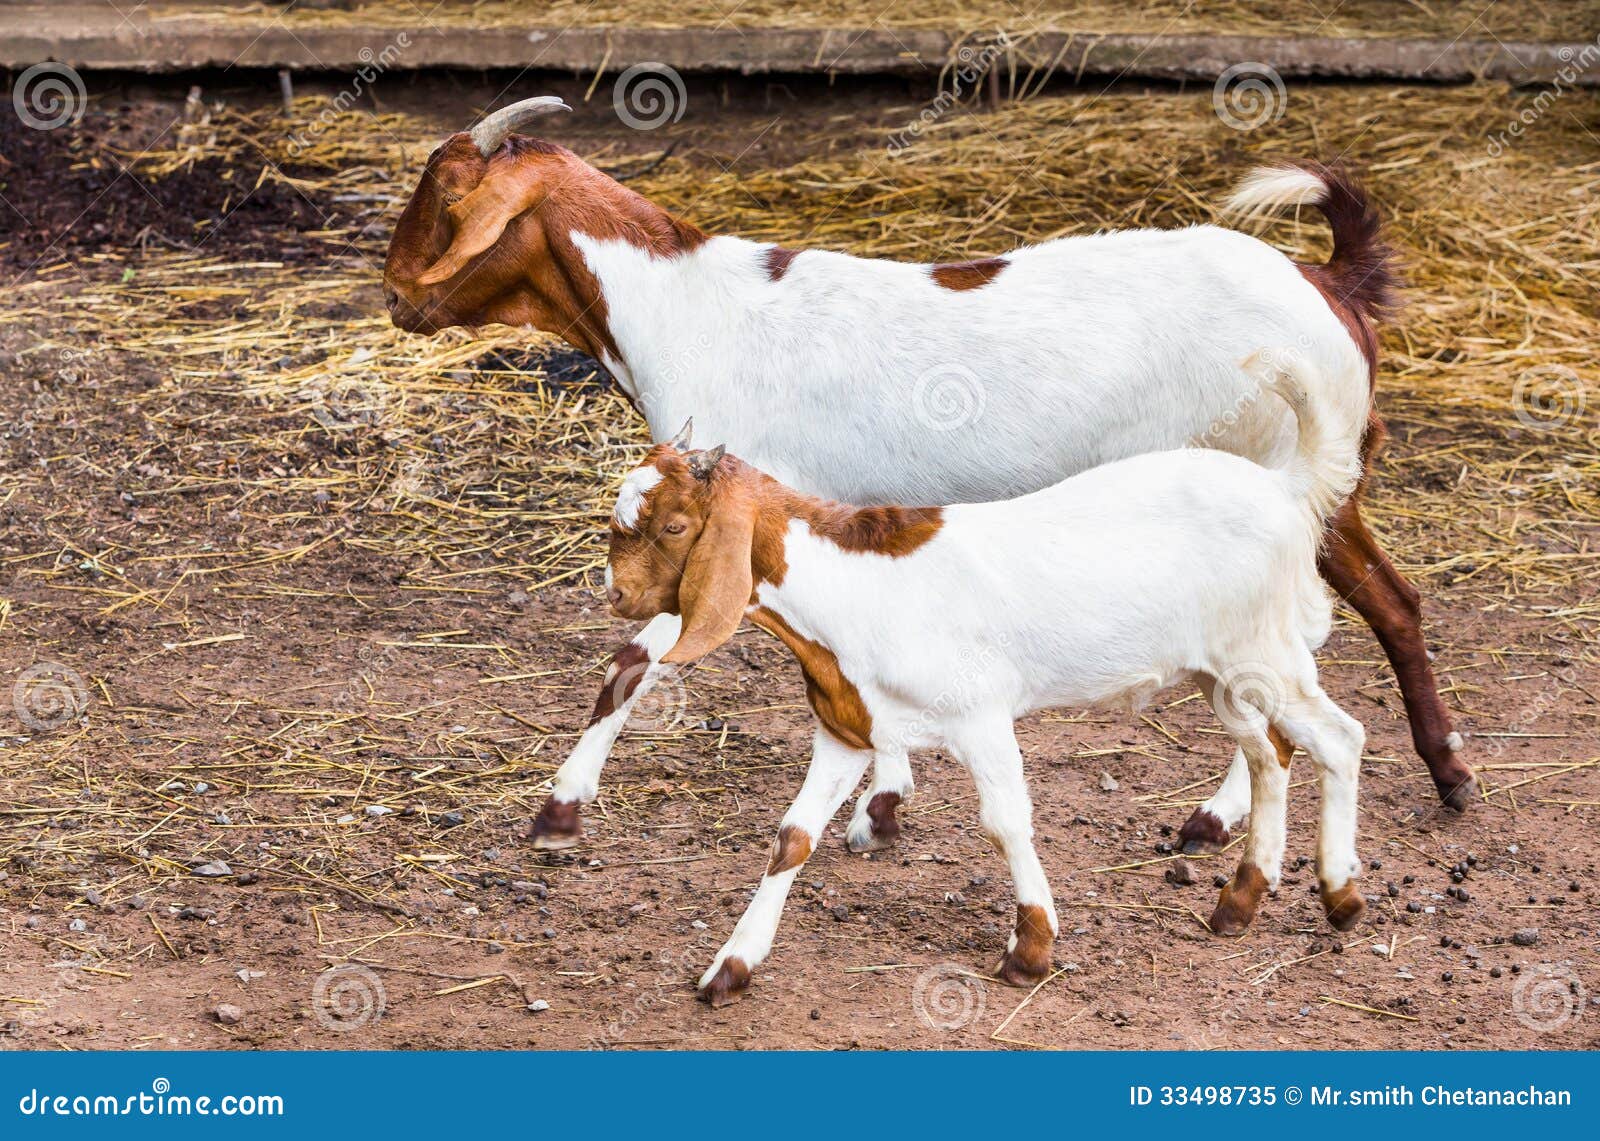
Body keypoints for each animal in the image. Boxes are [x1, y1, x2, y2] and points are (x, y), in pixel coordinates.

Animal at [381, 97, 1472, 855]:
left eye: (445, 196)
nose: (392, 298)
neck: (681, 307)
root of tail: (1327, 283)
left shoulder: (727, 514)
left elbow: (630, 662)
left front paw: (559, 808)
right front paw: (886, 799)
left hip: (1276, 481)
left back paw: (1233, 809)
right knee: (1392, 604)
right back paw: (1444, 773)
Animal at [605, 357, 1367, 1006]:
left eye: (674, 525)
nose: (616, 594)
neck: (844, 590)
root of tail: (1286, 486)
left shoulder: (980, 718)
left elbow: (1005, 823)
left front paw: (1029, 950)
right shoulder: (848, 728)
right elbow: (792, 836)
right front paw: (730, 967)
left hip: (1263, 651)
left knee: (1339, 737)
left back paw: (1340, 894)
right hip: (1224, 674)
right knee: (1271, 754)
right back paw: (1239, 901)